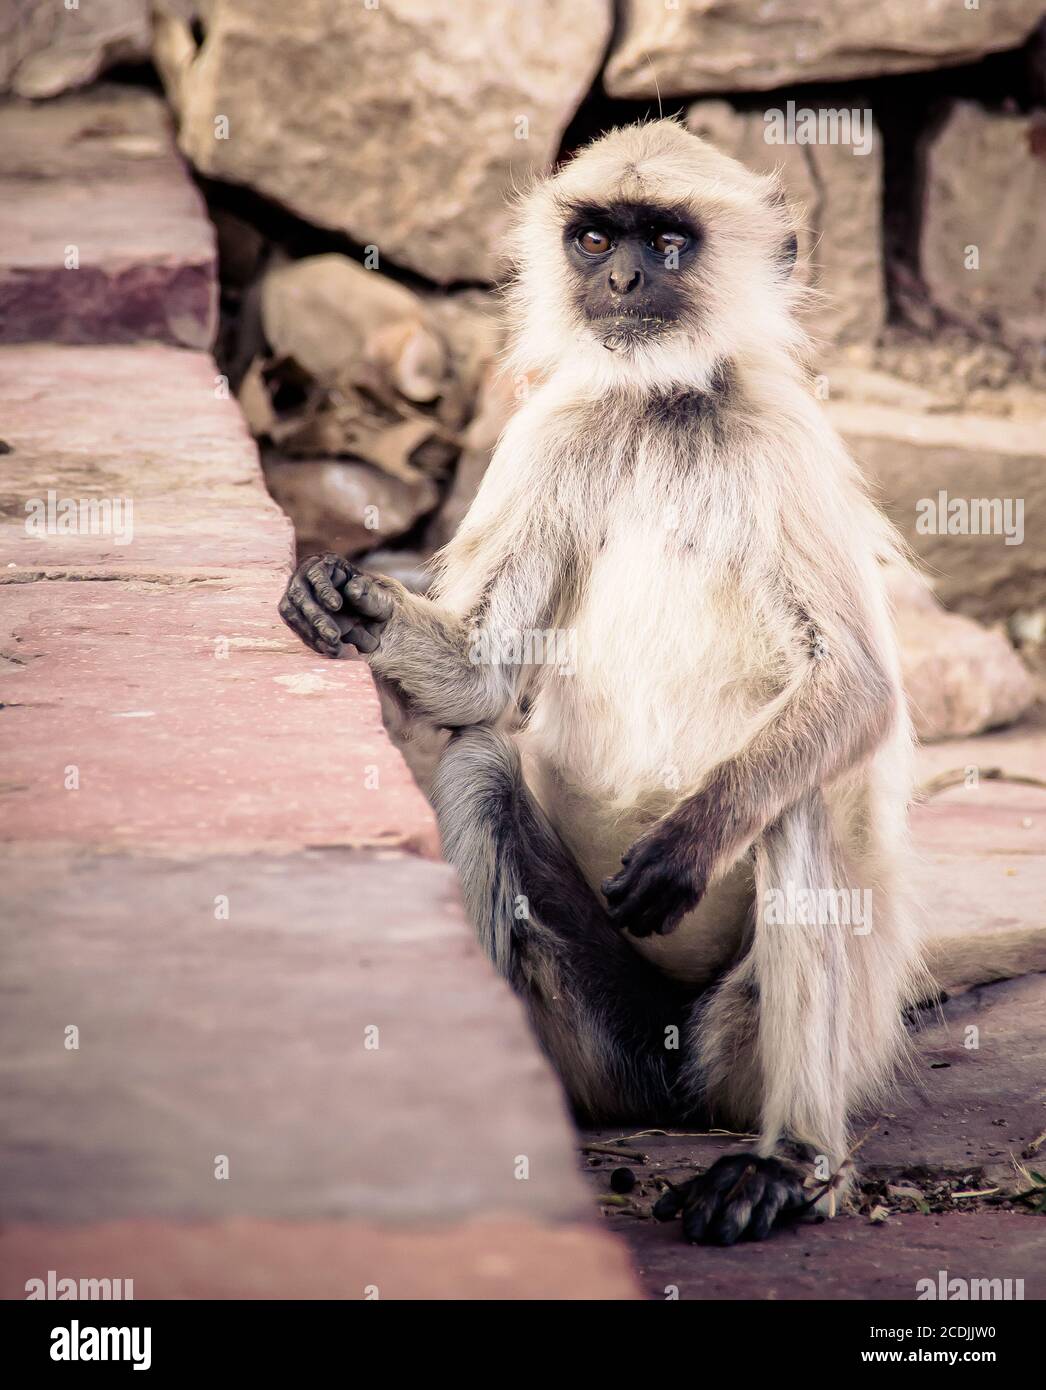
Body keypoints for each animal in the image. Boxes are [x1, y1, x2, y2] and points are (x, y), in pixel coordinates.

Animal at [279, 120, 1046, 1246]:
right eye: (596, 239)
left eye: (667, 243)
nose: (624, 279)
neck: (663, 407)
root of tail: (672, 1083)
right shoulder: (553, 426)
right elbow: (480, 683)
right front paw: (348, 601)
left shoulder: (783, 439)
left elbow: (857, 691)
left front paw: (688, 841)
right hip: (608, 1038)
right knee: (476, 769)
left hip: (745, 1047)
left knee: (791, 803)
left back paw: (787, 1164)